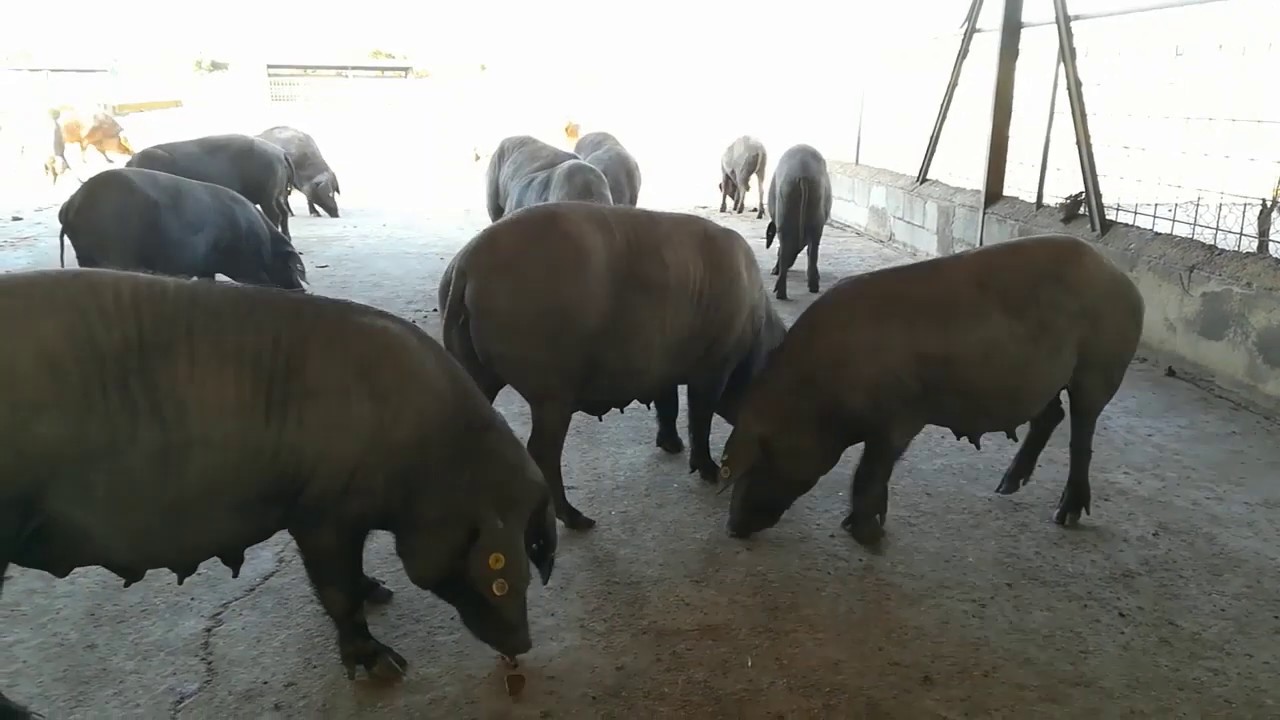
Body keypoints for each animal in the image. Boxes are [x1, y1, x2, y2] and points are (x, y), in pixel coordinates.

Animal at [0, 268, 559, 720]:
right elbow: (335, 586)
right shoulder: (319, 512)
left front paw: (379, 590)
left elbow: (353, 573)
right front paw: (388, 668)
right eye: (497, 563)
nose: (524, 643)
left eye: (531, 548)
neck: (426, 455)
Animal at [57, 167, 307, 291]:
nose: (300, 289)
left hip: (84, 254)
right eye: (292, 266)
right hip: (117, 247)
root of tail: (71, 203)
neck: (266, 243)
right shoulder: (245, 264)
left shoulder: (208, 267)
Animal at [438, 201, 788, 530]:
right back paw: (580, 521)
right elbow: (699, 416)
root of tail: (466, 266)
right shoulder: (714, 366)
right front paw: (710, 471)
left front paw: (672, 446)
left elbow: (668, 403)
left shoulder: (663, 366)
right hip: (551, 390)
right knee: (542, 452)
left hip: (475, 372)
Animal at [718, 233, 1145, 545]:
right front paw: (865, 525)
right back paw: (1005, 487)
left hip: (1099, 367)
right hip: (1046, 378)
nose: (733, 527)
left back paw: (1064, 515)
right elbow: (875, 472)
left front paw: (867, 535)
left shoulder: (902, 416)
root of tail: (1124, 281)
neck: (821, 391)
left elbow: (869, 472)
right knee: (1051, 415)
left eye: (762, 457)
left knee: (1081, 433)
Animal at [764, 144, 833, 300]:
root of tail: (803, 175)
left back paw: (781, 293)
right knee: (812, 250)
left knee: (786, 247)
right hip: (815, 211)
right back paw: (811, 288)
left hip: (785, 205)